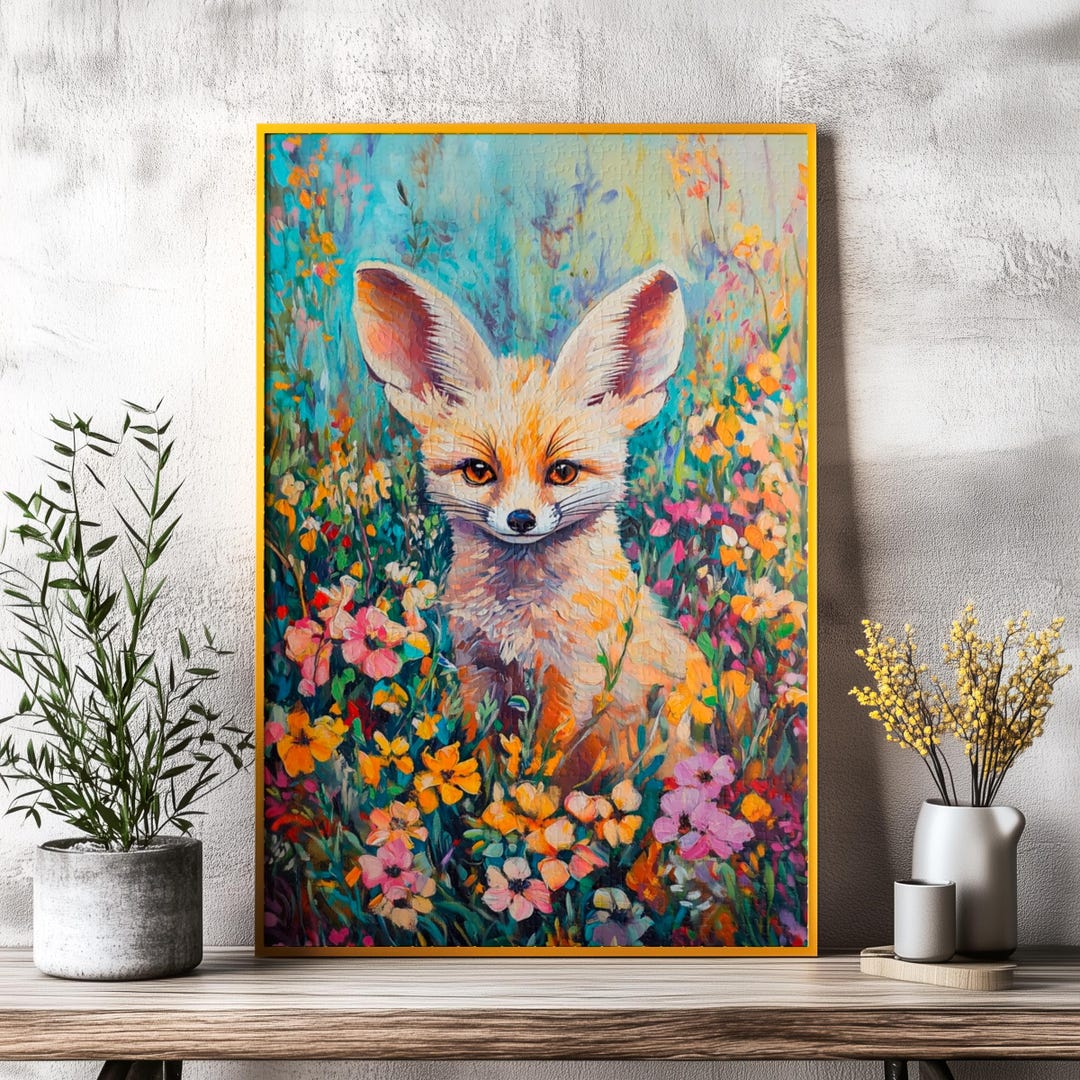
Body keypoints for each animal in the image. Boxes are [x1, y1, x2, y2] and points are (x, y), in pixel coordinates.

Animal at [352, 261, 715, 789]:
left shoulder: (576, 680)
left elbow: (548, 762)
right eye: (478, 471)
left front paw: (532, 801)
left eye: (562, 472)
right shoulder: (479, 666)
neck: (519, 620)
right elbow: (480, 748)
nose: (520, 519)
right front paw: (483, 792)